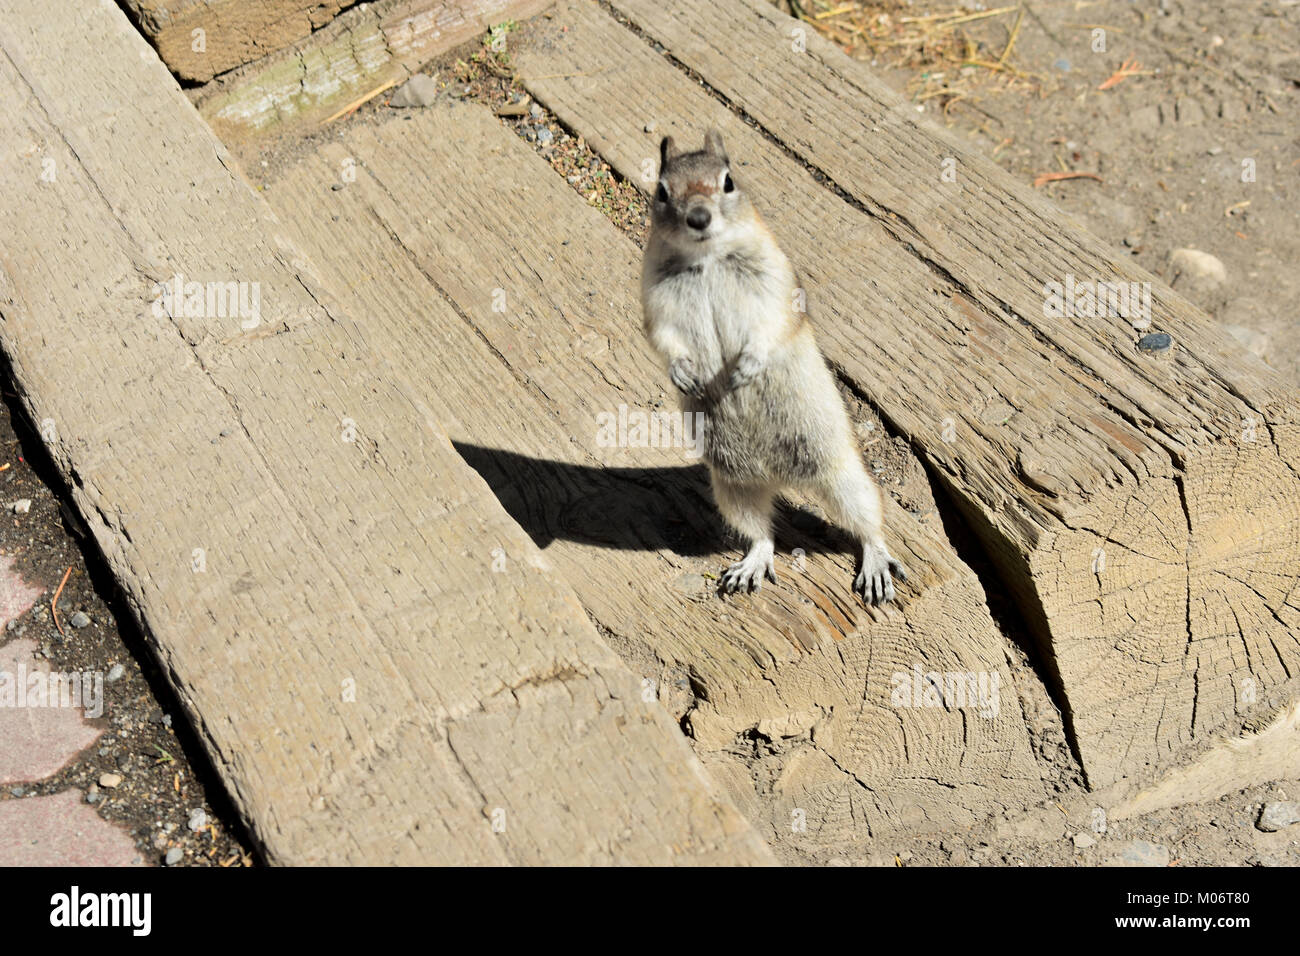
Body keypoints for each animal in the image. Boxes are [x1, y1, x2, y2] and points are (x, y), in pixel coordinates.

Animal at [641, 129, 905, 604]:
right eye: (662, 191)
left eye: (728, 182)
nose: (699, 218)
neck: (708, 258)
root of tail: (777, 476)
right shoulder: (655, 300)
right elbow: (664, 338)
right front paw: (683, 372)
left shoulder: (778, 285)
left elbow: (770, 326)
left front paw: (747, 367)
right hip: (733, 487)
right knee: (761, 532)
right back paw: (752, 563)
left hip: (842, 475)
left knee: (869, 521)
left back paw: (875, 562)